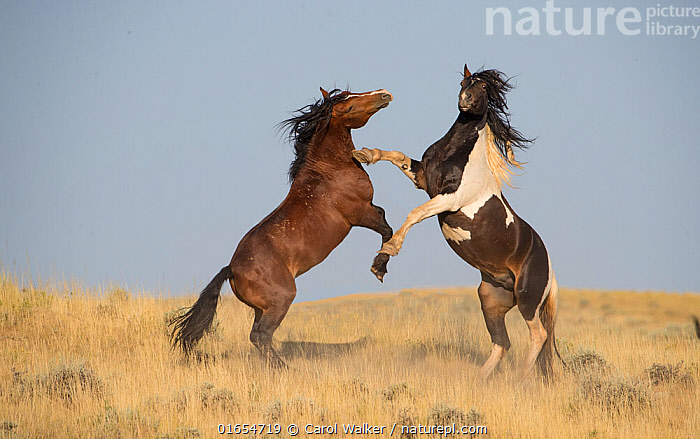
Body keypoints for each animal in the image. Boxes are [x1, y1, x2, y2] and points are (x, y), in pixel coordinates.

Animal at [170, 87, 394, 367]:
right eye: (348, 106)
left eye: (351, 92)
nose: (384, 94)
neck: (329, 172)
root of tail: (231, 269)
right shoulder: (359, 214)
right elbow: (387, 230)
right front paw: (379, 268)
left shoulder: (370, 207)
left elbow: (384, 217)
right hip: (281, 300)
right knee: (261, 335)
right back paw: (285, 368)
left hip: (261, 308)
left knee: (258, 337)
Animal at [353, 64, 559, 380]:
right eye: (463, 82)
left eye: (484, 87)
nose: (465, 100)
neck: (458, 153)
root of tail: (549, 268)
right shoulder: (423, 179)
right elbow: (398, 156)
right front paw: (365, 154)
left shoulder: (450, 199)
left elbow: (414, 213)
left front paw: (386, 255)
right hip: (491, 299)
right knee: (502, 343)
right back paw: (480, 380)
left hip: (527, 298)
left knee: (538, 335)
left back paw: (521, 380)